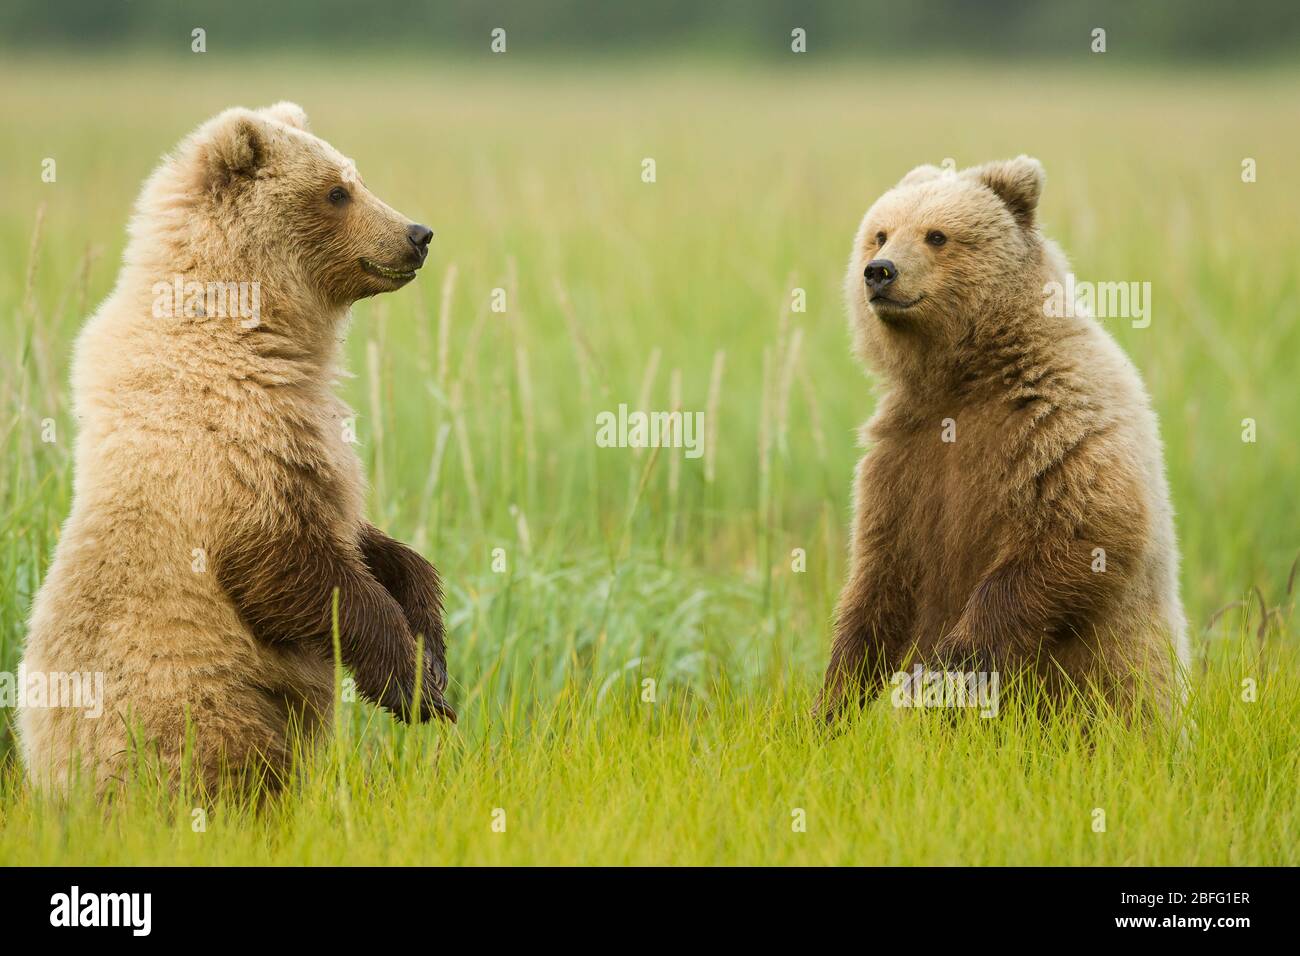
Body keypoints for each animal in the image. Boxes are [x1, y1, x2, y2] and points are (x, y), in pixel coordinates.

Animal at [19, 102, 454, 796]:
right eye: (337, 191)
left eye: (354, 177)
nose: (418, 234)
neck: (252, 327)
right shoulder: (226, 446)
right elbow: (292, 567)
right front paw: (411, 686)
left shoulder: (309, 447)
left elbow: (364, 538)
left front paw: (431, 647)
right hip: (196, 703)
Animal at [813, 156, 1188, 724]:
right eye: (880, 232)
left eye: (937, 235)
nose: (879, 271)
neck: (966, 377)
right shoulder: (903, 457)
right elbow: (879, 578)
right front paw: (829, 704)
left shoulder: (1056, 422)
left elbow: (1083, 529)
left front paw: (948, 669)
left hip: (1121, 677)